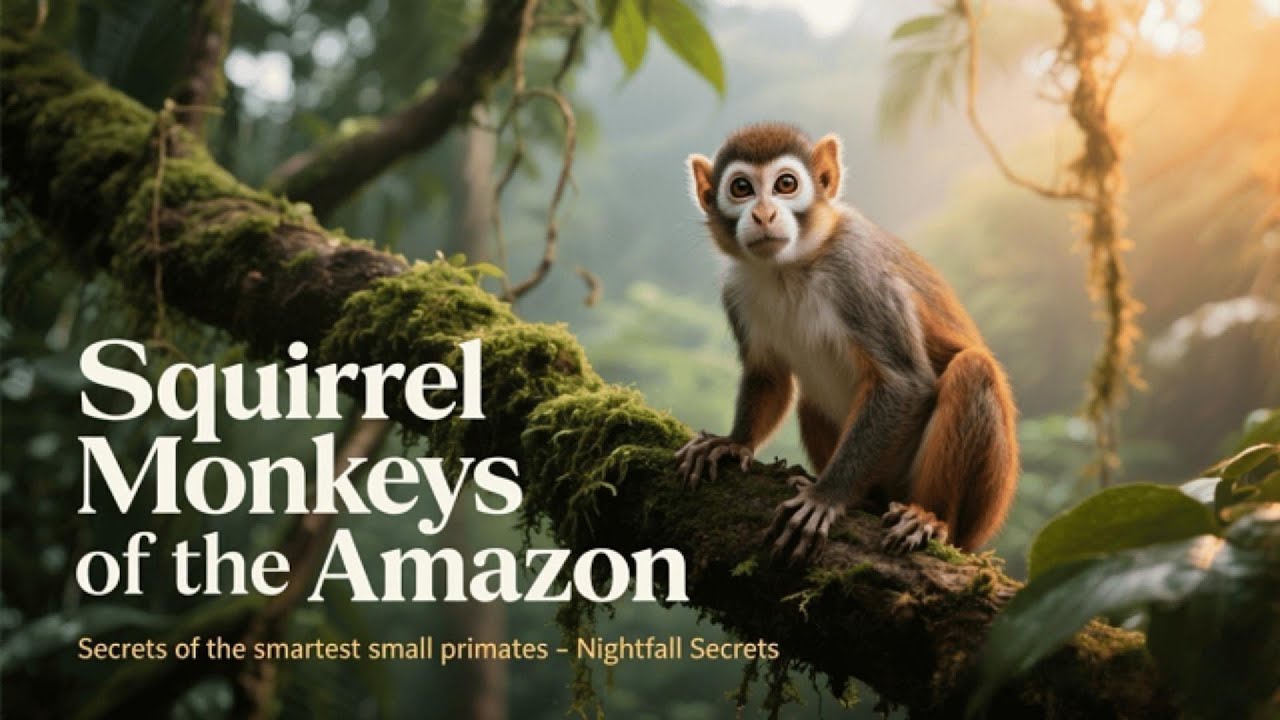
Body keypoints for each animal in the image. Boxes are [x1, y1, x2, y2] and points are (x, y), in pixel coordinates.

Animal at [674, 123, 1019, 562]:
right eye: (741, 188)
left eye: (786, 184)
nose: (764, 214)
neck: (791, 269)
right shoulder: (737, 287)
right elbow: (768, 375)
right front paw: (733, 443)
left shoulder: (857, 271)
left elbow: (904, 383)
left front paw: (827, 496)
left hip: (980, 513)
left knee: (975, 371)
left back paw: (930, 517)